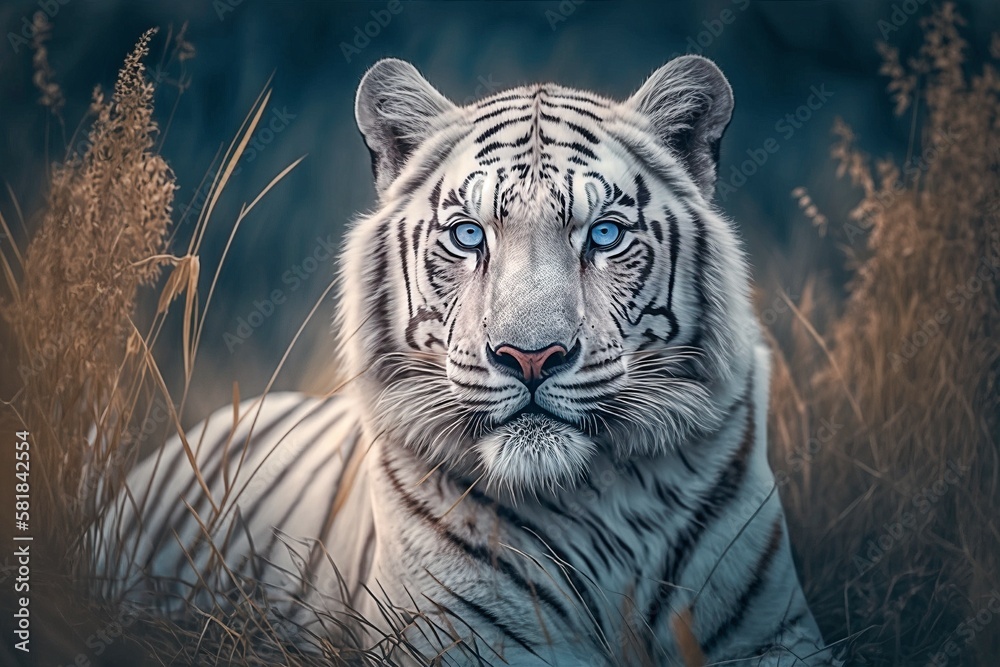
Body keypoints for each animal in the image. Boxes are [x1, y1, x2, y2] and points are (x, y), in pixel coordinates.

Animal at [95, 56, 840, 665]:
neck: (594, 505)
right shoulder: (456, 642)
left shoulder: (775, 634)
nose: (531, 356)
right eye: (468, 235)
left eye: (603, 234)